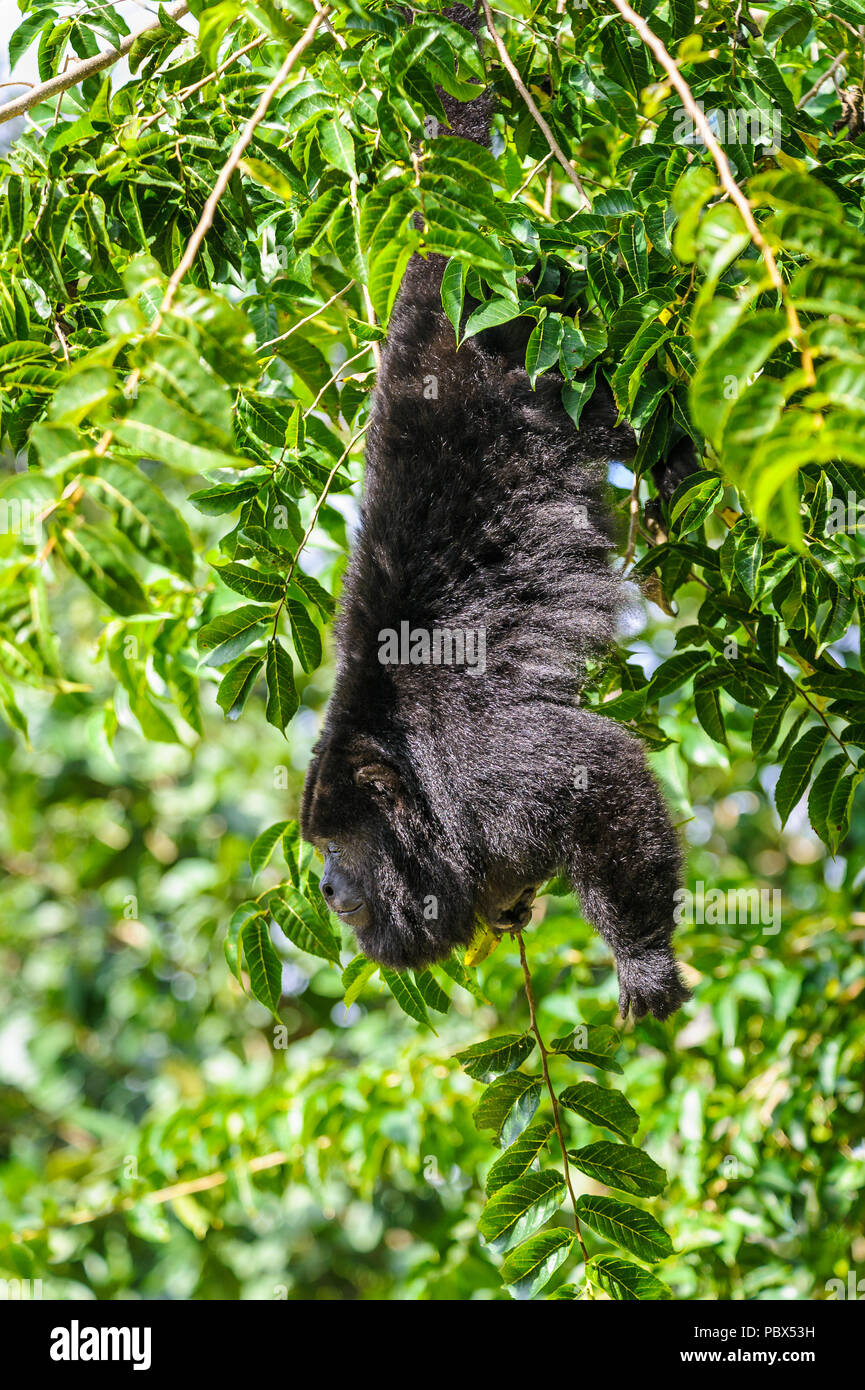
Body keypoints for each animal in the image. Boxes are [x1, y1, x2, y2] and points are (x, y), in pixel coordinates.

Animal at [301, 4, 692, 1022]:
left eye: (337, 844)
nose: (324, 887)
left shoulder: (485, 766)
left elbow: (603, 773)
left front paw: (643, 962)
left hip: (539, 342)